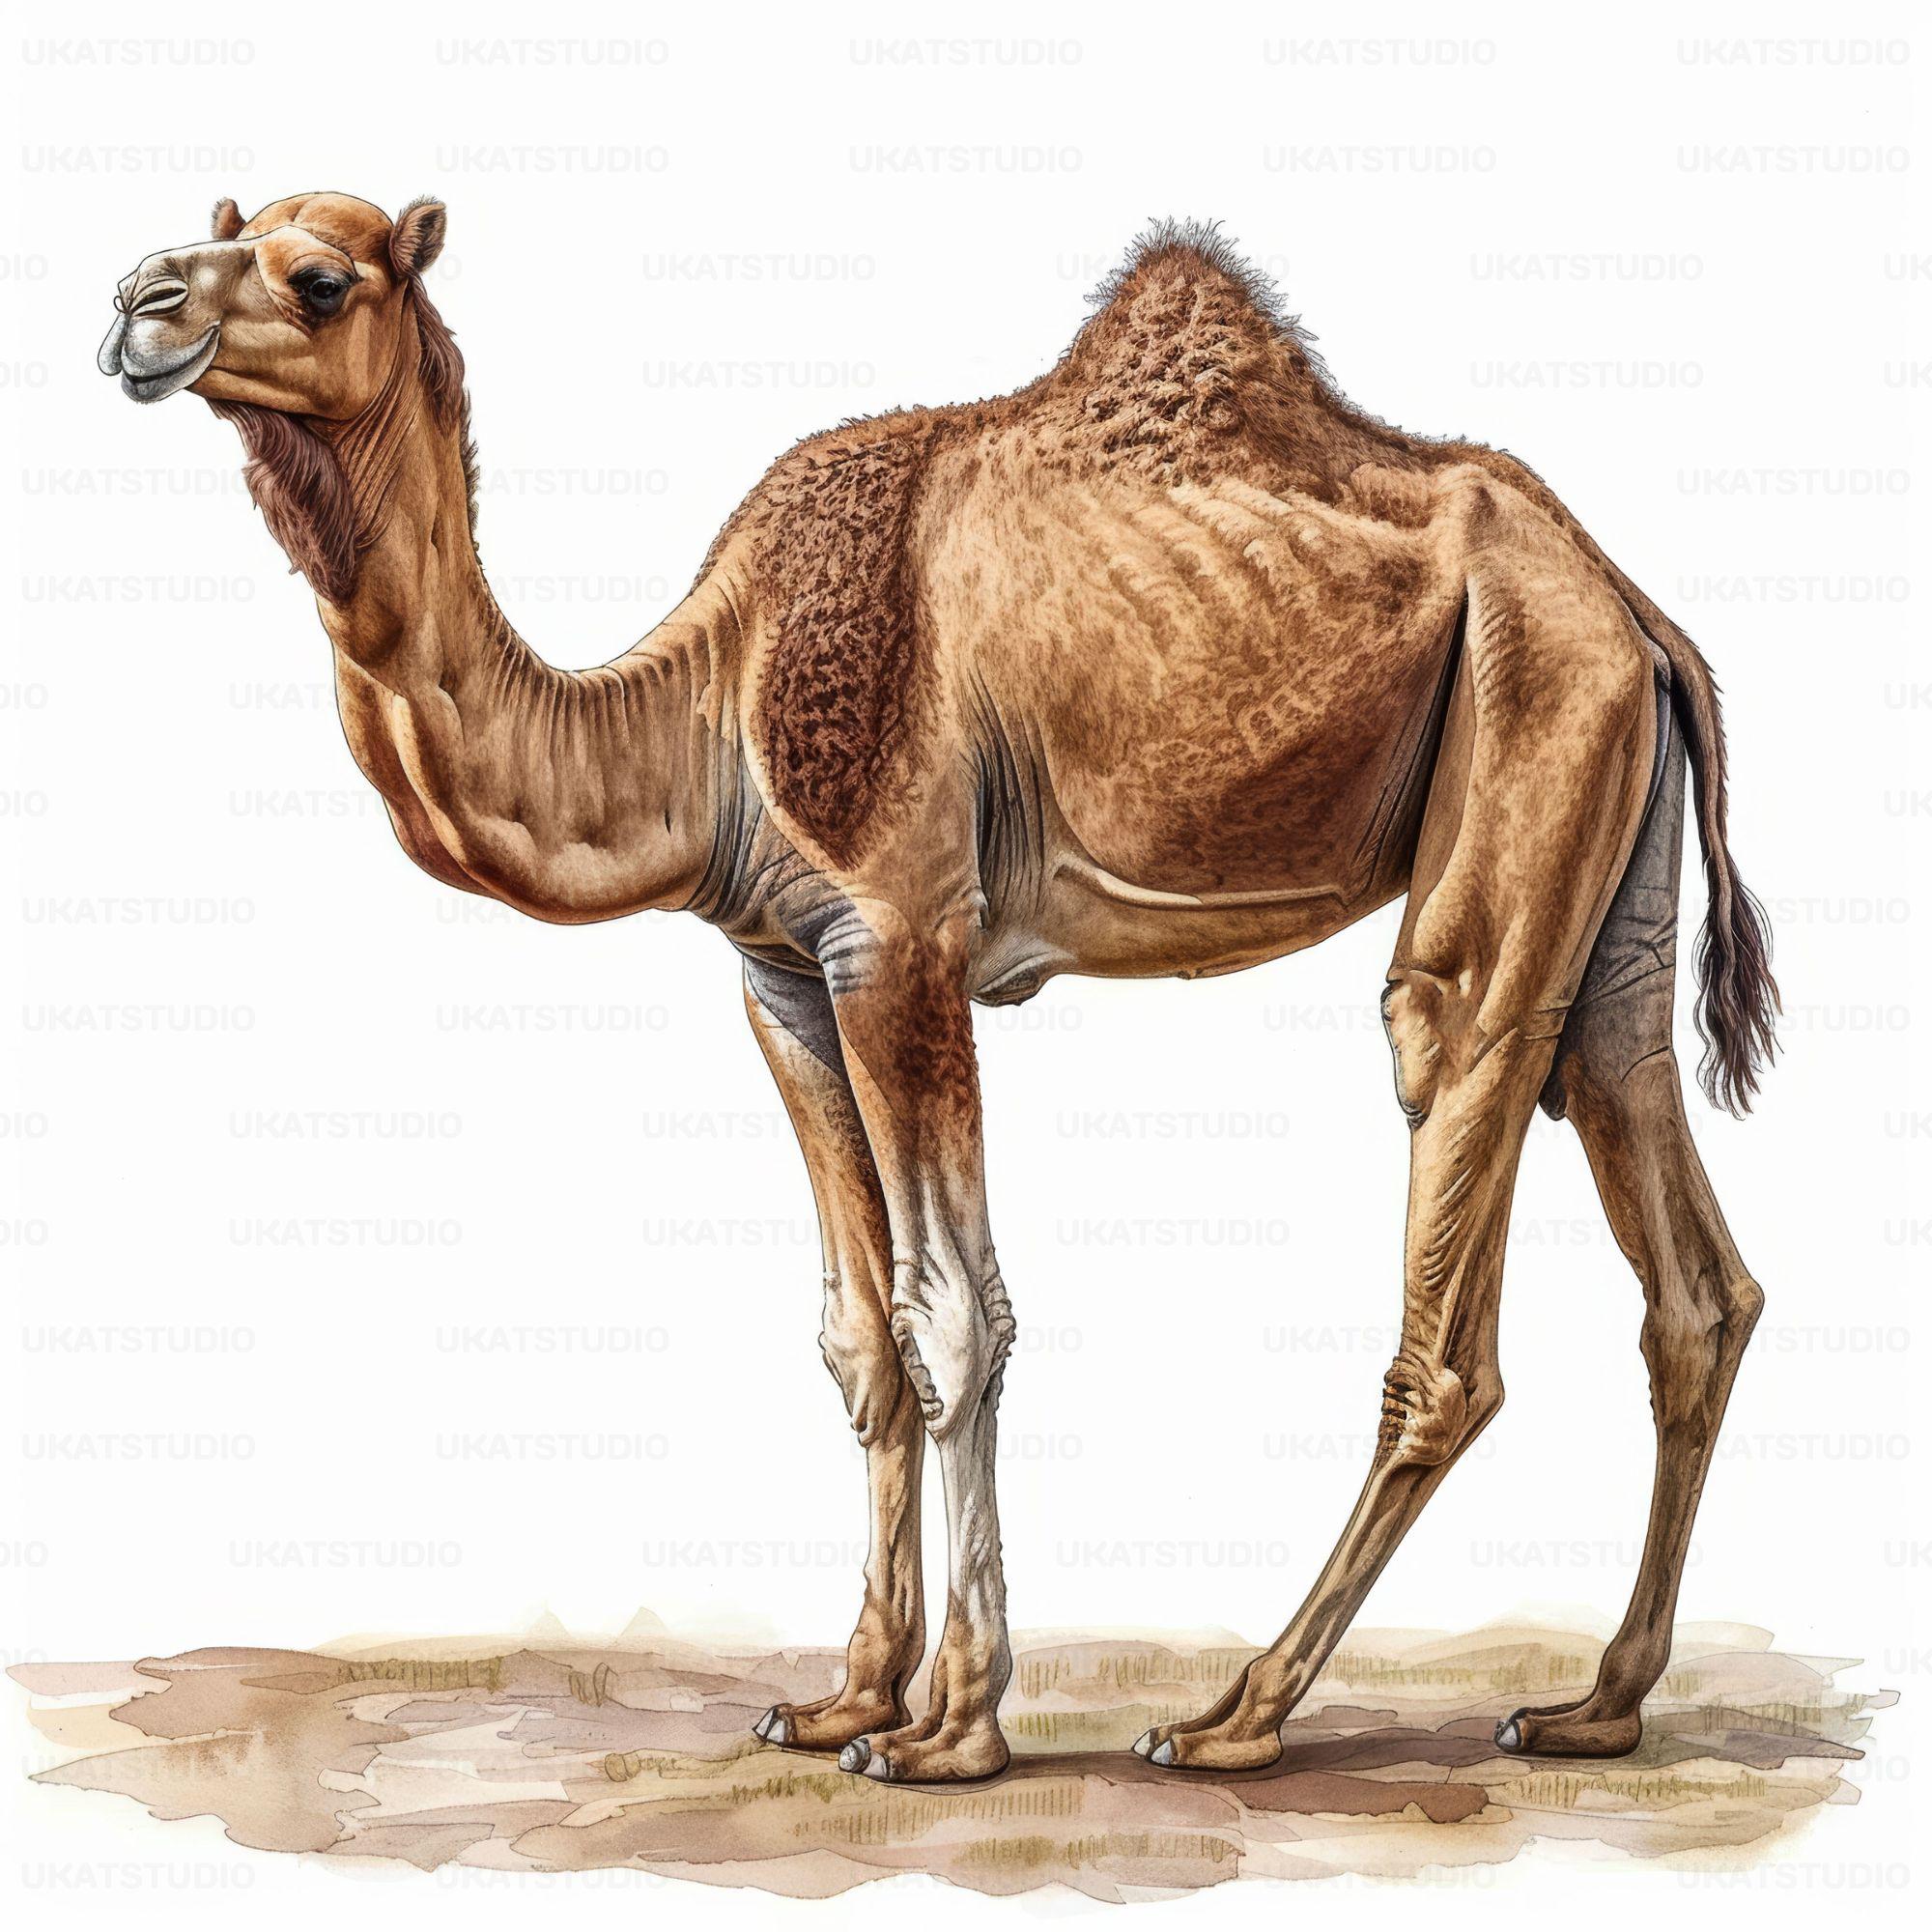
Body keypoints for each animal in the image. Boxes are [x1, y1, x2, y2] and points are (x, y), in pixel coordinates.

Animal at [98, 193, 1776, 1785]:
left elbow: (956, 1317)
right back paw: (1597, 1706)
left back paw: (1238, 1714)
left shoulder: (903, 940)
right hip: (1612, 872)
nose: (136, 303)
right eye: (230, 226)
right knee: (1678, 1241)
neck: (701, 707)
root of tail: (1634, 608)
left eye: (321, 278)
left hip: (1524, 743)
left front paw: (953, 1728)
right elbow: (860, 1336)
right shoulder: (785, 979)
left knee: (1451, 1197)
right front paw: (847, 1693)